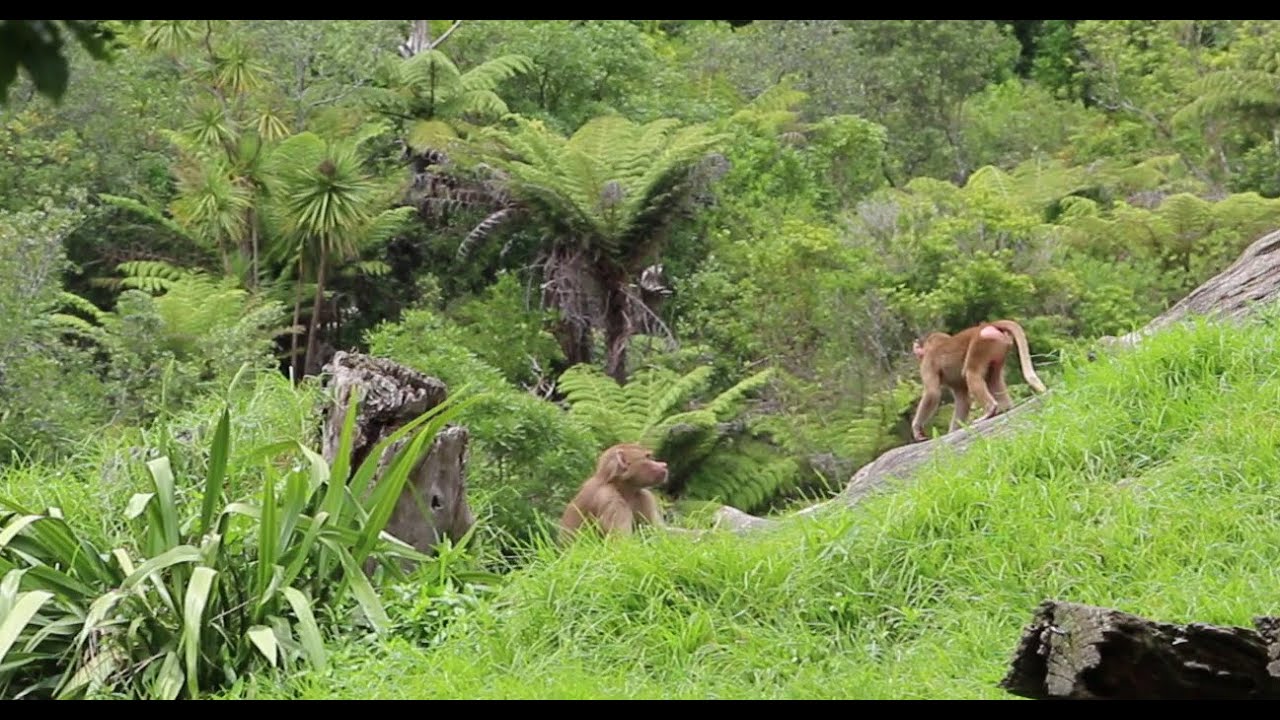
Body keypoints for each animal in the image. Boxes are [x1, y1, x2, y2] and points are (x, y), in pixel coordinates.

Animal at [910, 319, 1047, 442]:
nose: (917, 353)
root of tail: (988, 325)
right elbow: (963, 400)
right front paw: (953, 431)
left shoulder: (927, 363)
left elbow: (932, 393)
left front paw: (917, 429)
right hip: (998, 346)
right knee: (993, 377)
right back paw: (1005, 407)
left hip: (982, 343)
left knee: (972, 373)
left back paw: (990, 410)